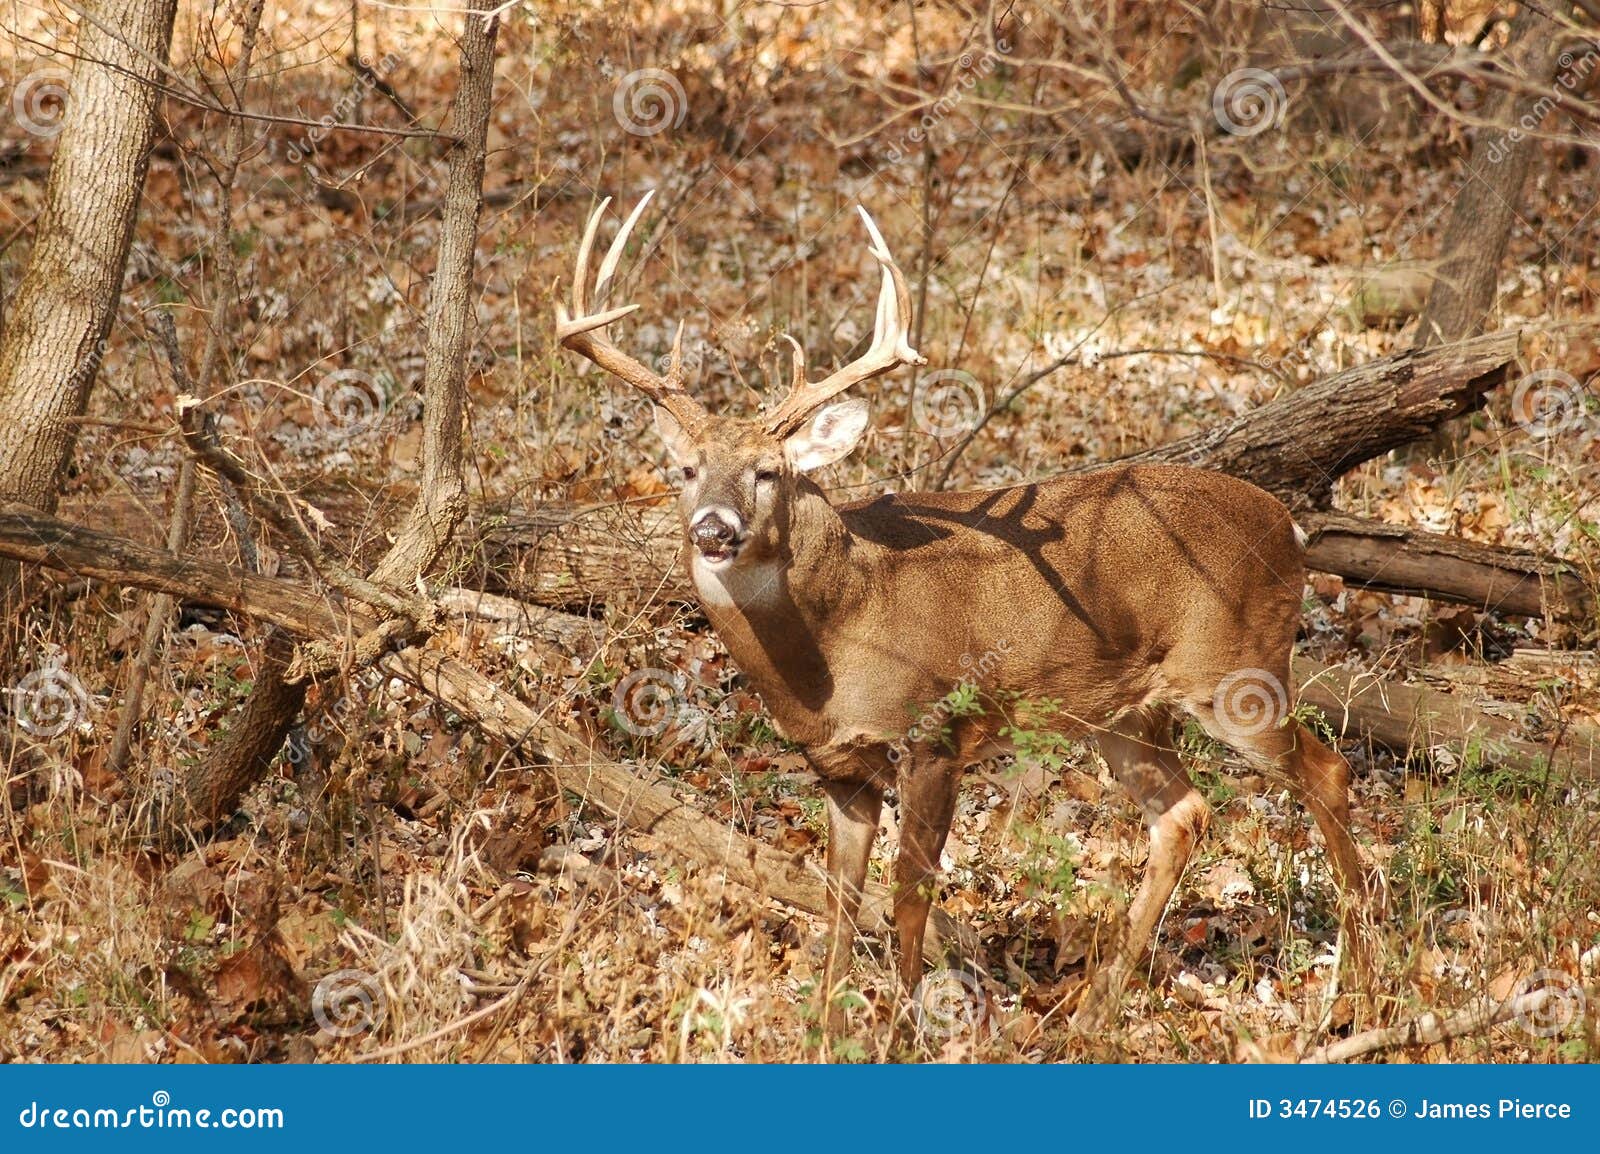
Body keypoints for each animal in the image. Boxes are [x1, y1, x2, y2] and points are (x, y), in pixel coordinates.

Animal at [555, 191, 1379, 1033]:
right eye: (686, 470)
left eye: (768, 472)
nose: (713, 529)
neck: (832, 647)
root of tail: (1290, 528)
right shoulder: (837, 768)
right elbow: (840, 900)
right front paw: (829, 1022)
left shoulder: (935, 731)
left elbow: (909, 894)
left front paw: (899, 1023)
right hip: (1123, 715)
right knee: (1183, 813)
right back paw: (1095, 1010)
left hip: (1236, 670)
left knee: (1328, 771)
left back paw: (1358, 991)